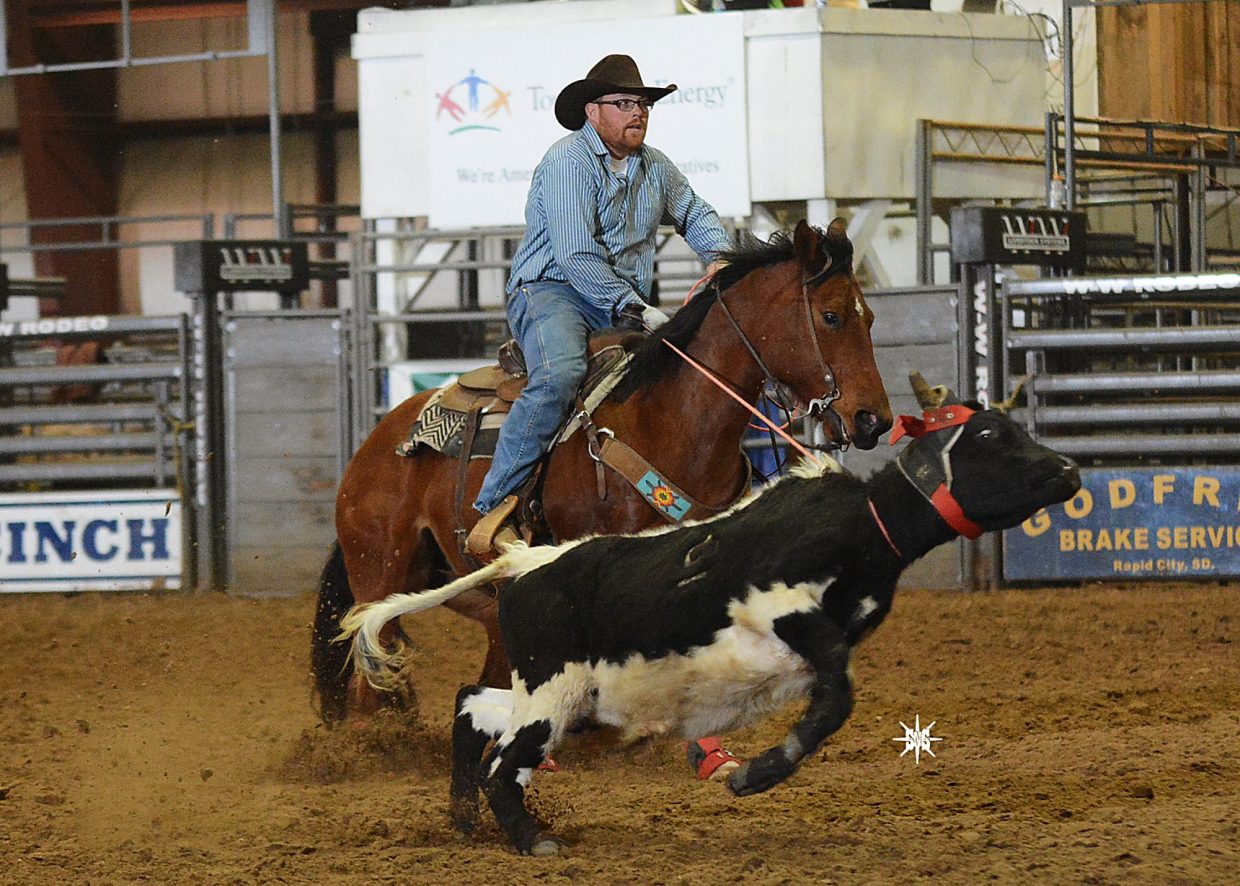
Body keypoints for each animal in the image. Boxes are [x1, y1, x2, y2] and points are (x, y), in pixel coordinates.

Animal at [311, 219, 894, 722]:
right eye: (831, 316)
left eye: (868, 317)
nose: (875, 419)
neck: (667, 420)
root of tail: (373, 446)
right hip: (380, 573)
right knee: (369, 670)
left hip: (471, 590)